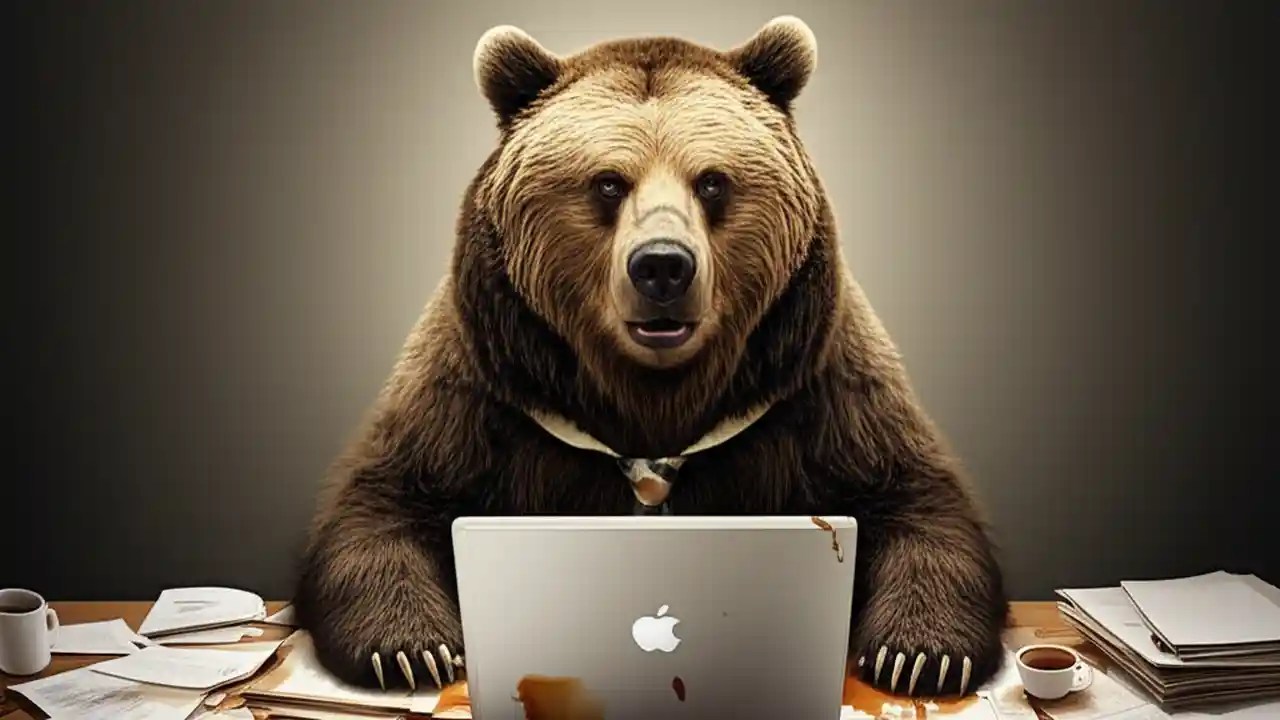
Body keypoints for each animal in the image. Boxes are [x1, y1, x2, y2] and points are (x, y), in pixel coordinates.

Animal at [294, 16, 1009, 700]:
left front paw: (918, 655)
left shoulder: (817, 391)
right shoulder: (481, 392)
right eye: (609, 183)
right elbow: (383, 500)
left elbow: (917, 497)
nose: (663, 266)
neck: (652, 401)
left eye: (712, 182)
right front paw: (411, 650)